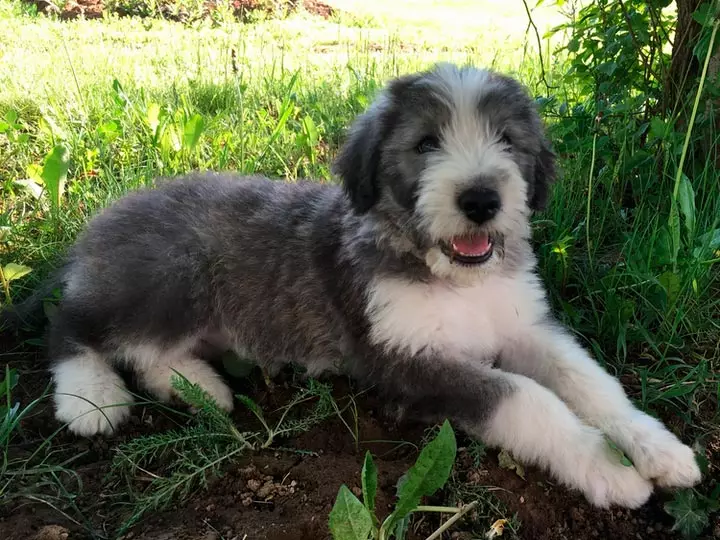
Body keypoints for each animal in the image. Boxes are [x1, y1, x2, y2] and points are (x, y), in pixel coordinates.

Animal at [4, 62, 704, 506]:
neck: (450, 279)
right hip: (173, 272)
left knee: (147, 353)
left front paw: (659, 449)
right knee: (74, 327)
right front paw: (610, 472)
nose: (481, 199)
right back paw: (93, 400)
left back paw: (201, 388)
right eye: (425, 143)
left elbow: (591, 382)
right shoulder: (403, 359)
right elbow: (528, 400)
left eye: (508, 139)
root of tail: (96, 227)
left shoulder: (524, 327)